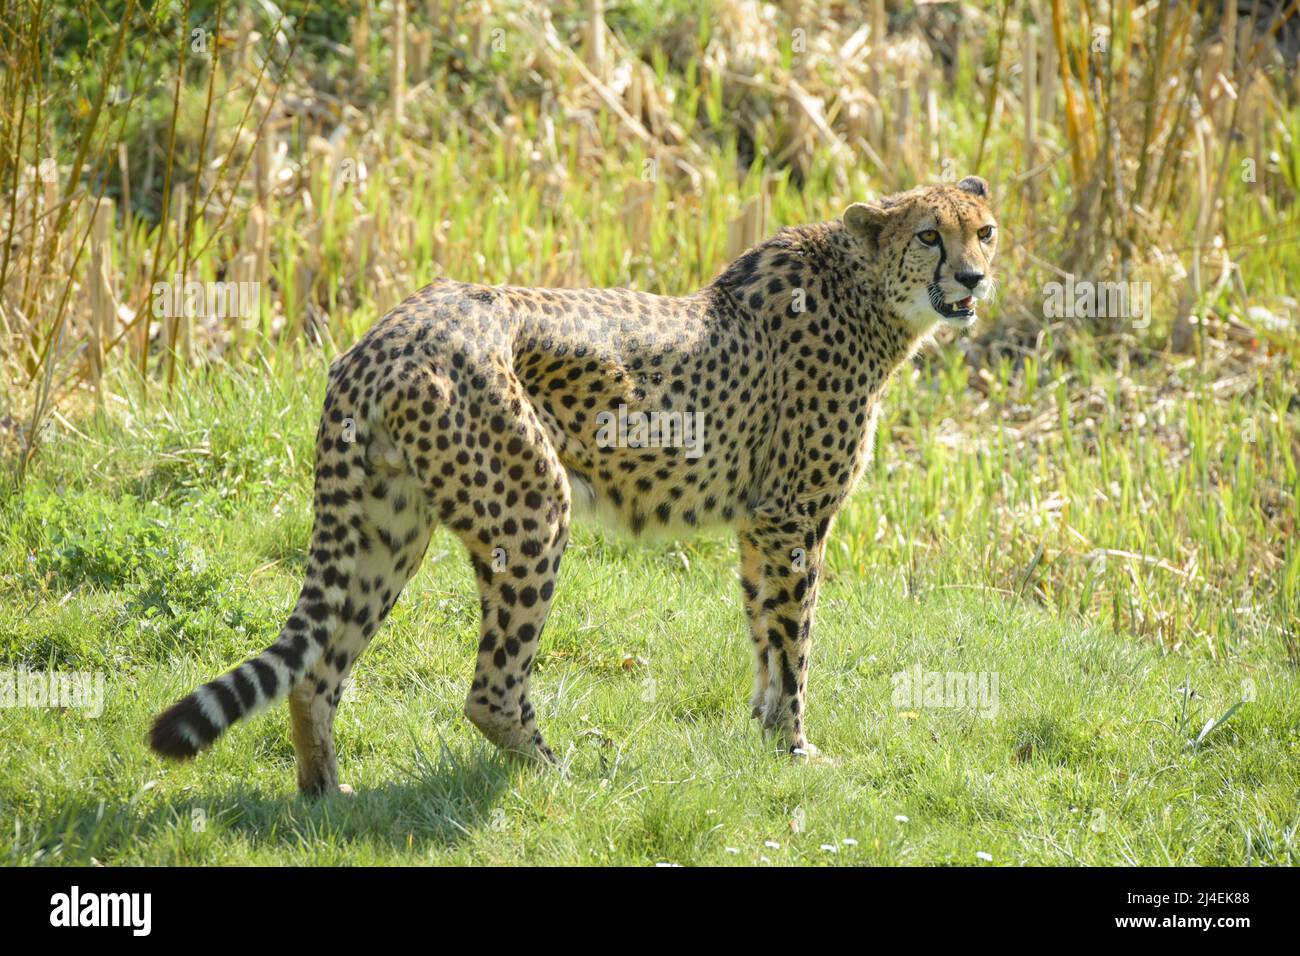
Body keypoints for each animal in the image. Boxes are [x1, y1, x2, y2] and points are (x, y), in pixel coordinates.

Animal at [149, 175, 998, 795]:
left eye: (983, 230)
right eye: (929, 235)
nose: (973, 276)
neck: (867, 293)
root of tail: (384, 335)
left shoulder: (760, 523)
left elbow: (764, 632)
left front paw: (764, 737)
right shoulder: (793, 519)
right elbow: (795, 645)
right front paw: (794, 748)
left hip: (387, 525)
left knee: (317, 672)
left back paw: (327, 796)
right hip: (531, 508)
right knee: (489, 689)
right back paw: (559, 774)